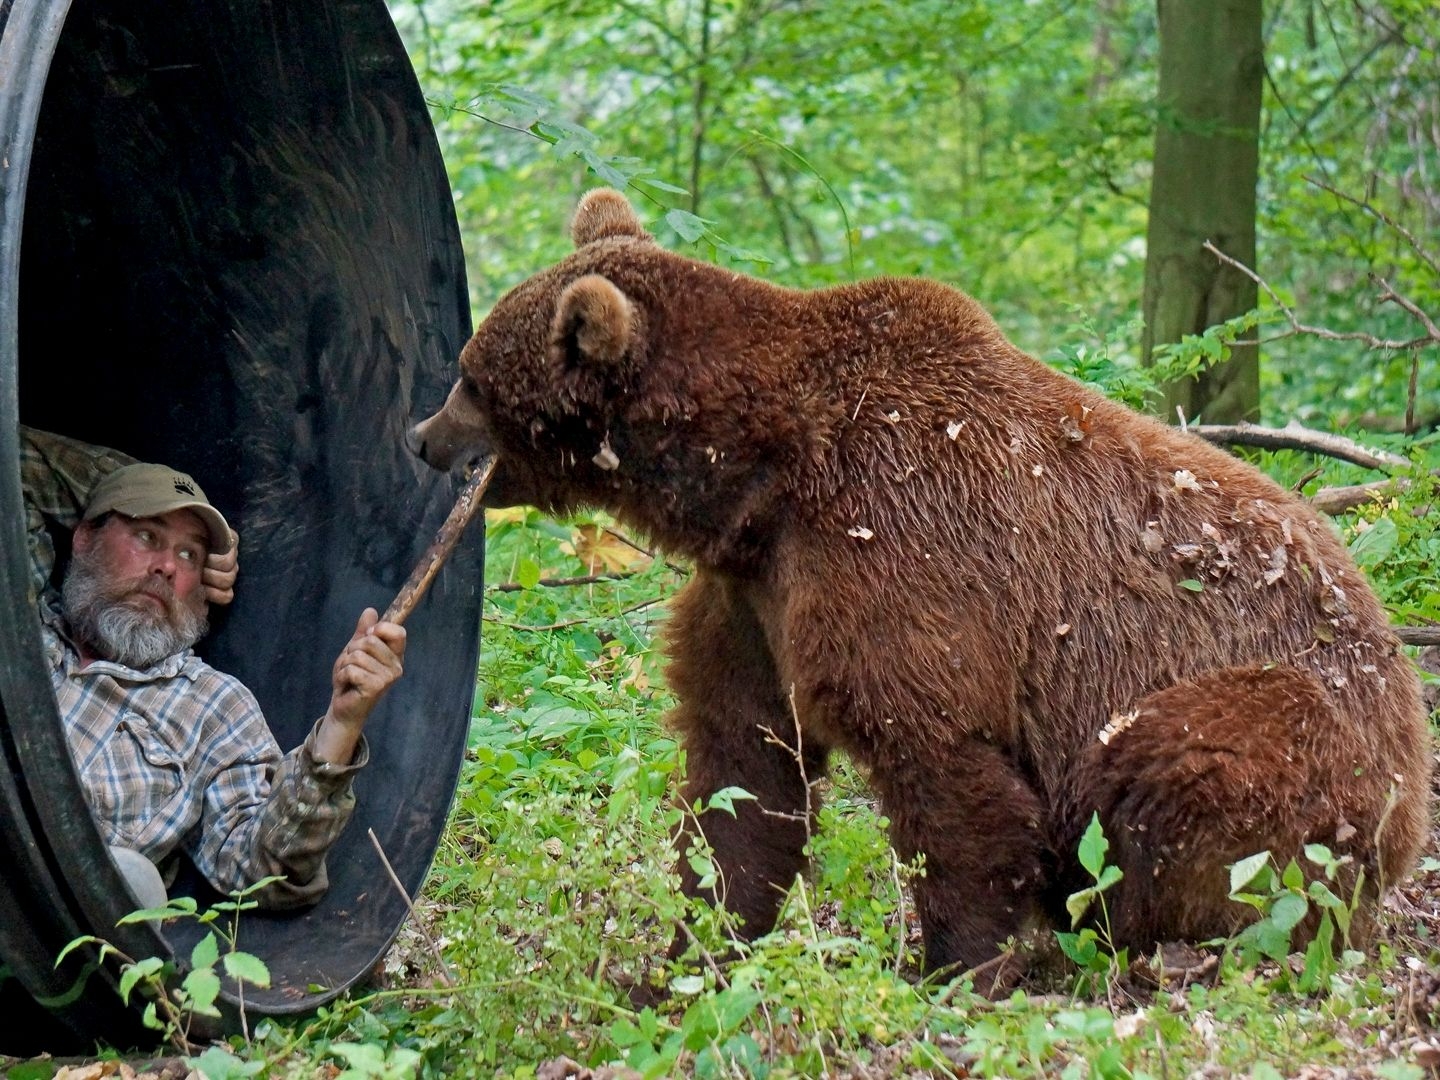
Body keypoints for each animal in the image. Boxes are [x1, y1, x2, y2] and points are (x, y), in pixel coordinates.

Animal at [408, 188, 1432, 984]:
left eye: (468, 378)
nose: (418, 437)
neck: (756, 478)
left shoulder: (902, 554)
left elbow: (945, 769)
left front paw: (951, 967)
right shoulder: (756, 599)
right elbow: (743, 778)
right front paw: (685, 959)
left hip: (1295, 731)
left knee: (1180, 772)